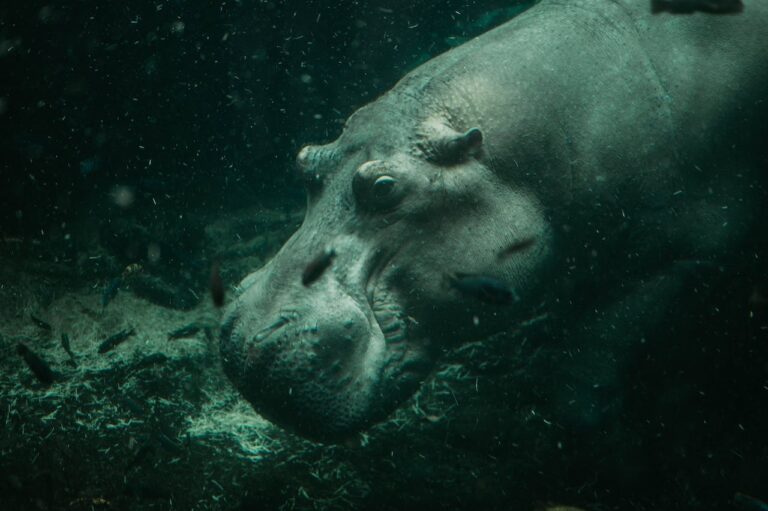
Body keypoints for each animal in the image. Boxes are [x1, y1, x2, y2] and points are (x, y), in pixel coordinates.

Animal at [221, 0, 768, 442]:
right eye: (306, 161)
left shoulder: (683, 253)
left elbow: (600, 345)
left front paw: (586, 410)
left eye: (384, 187)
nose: (246, 341)